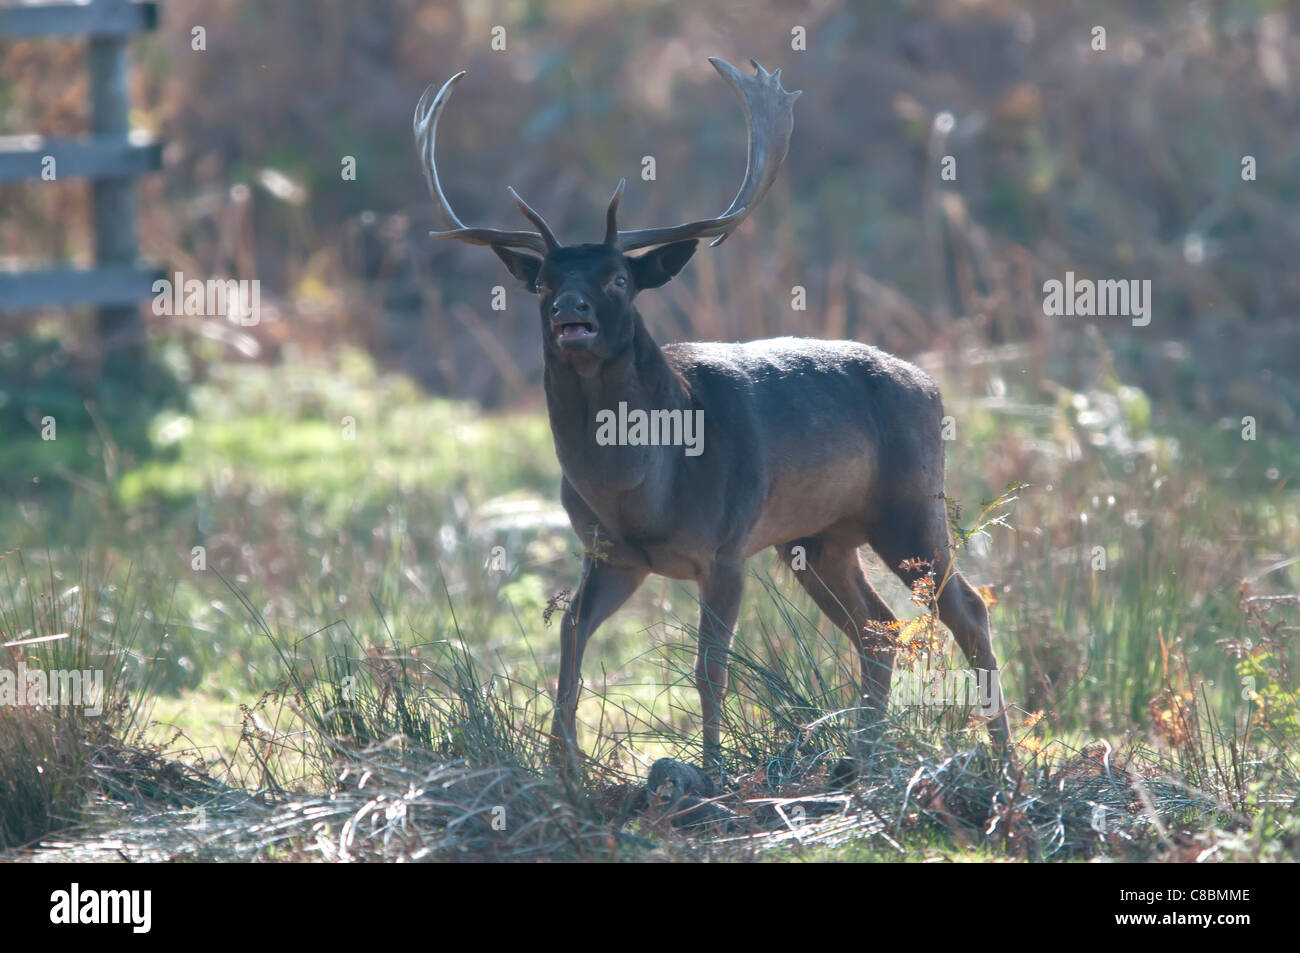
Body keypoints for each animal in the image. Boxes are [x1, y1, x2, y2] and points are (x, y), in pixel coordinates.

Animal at [413, 57, 1010, 775]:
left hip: (910, 506)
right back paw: (866, 753)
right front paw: (564, 766)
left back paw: (1005, 760)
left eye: (618, 278)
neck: (643, 486)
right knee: (880, 628)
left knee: (967, 608)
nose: (569, 312)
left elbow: (709, 669)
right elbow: (570, 638)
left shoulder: (725, 547)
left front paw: (711, 769)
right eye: (544, 282)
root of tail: (931, 385)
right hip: (818, 537)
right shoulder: (611, 554)